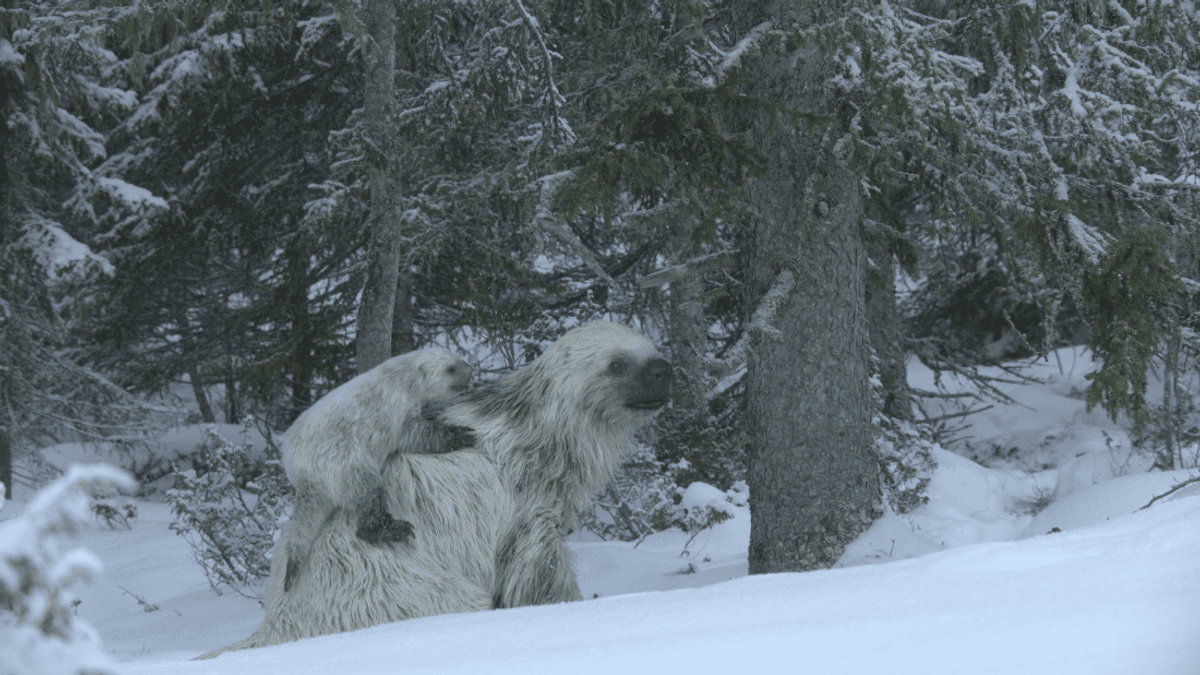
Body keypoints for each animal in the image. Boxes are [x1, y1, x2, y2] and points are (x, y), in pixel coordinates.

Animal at [280, 348, 474, 591]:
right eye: (451, 369)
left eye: (459, 359)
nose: (471, 371)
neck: (403, 375)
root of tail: (303, 471)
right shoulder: (397, 407)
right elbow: (419, 435)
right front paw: (462, 434)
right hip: (345, 458)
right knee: (368, 493)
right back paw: (392, 529)